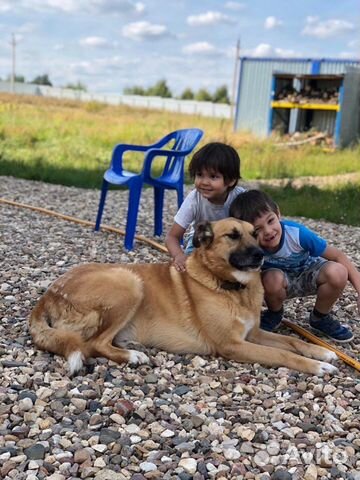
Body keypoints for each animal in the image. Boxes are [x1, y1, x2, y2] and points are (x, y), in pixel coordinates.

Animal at [28, 219, 338, 376]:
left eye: (255, 234)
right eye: (232, 235)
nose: (261, 255)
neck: (229, 286)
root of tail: (46, 297)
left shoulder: (252, 334)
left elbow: (291, 341)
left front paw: (321, 351)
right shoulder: (233, 345)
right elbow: (282, 354)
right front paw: (317, 366)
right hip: (130, 283)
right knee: (94, 343)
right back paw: (132, 356)